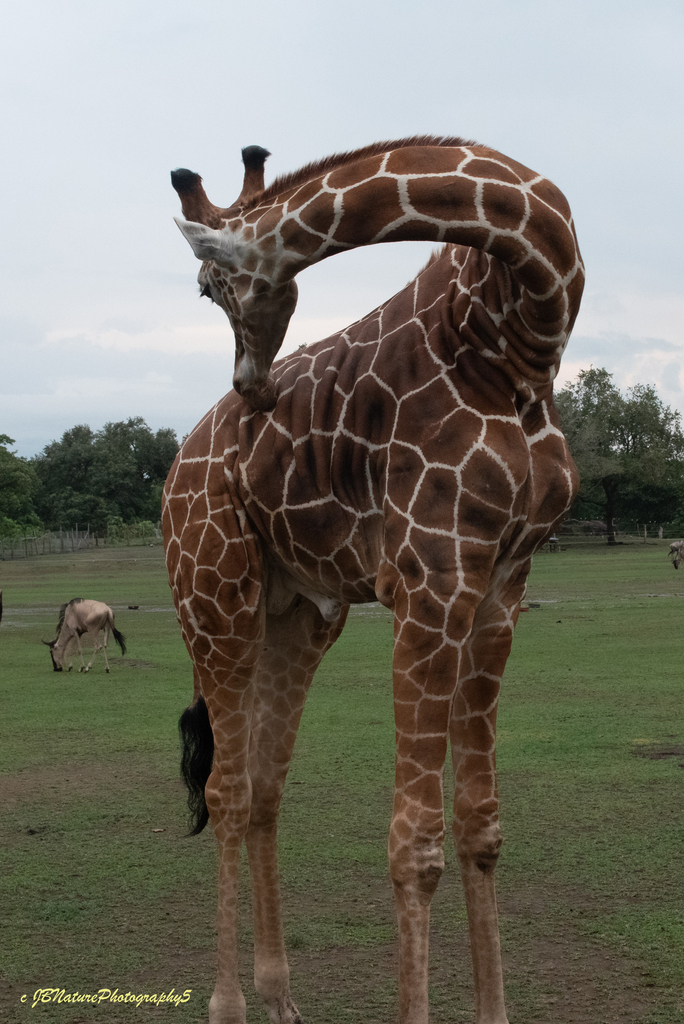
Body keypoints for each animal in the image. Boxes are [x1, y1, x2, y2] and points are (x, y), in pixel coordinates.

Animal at [164, 137, 584, 1024]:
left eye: (209, 285)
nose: (253, 388)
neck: (525, 323)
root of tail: (176, 465)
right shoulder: (429, 578)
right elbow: (413, 845)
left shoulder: (501, 585)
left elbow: (480, 823)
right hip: (212, 597)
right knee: (223, 791)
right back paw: (228, 1004)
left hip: (298, 615)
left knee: (263, 787)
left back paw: (281, 997)